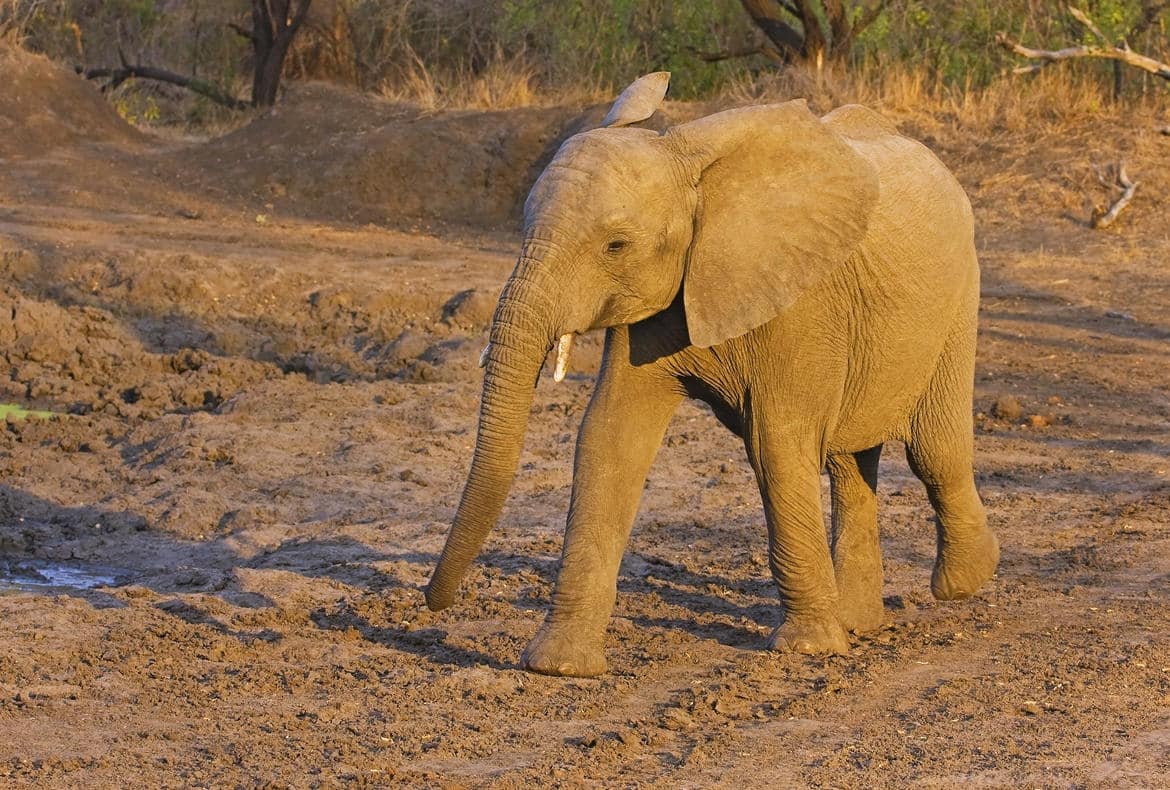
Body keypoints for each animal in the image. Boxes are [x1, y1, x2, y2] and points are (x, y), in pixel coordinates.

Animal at [424, 72, 1000, 678]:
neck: (688, 165)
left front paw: (807, 649)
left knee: (932, 450)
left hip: (959, 299)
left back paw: (965, 581)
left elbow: (777, 443)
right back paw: (857, 622)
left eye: (615, 245)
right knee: (849, 458)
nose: (434, 602)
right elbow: (610, 436)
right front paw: (557, 666)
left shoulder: (802, 299)